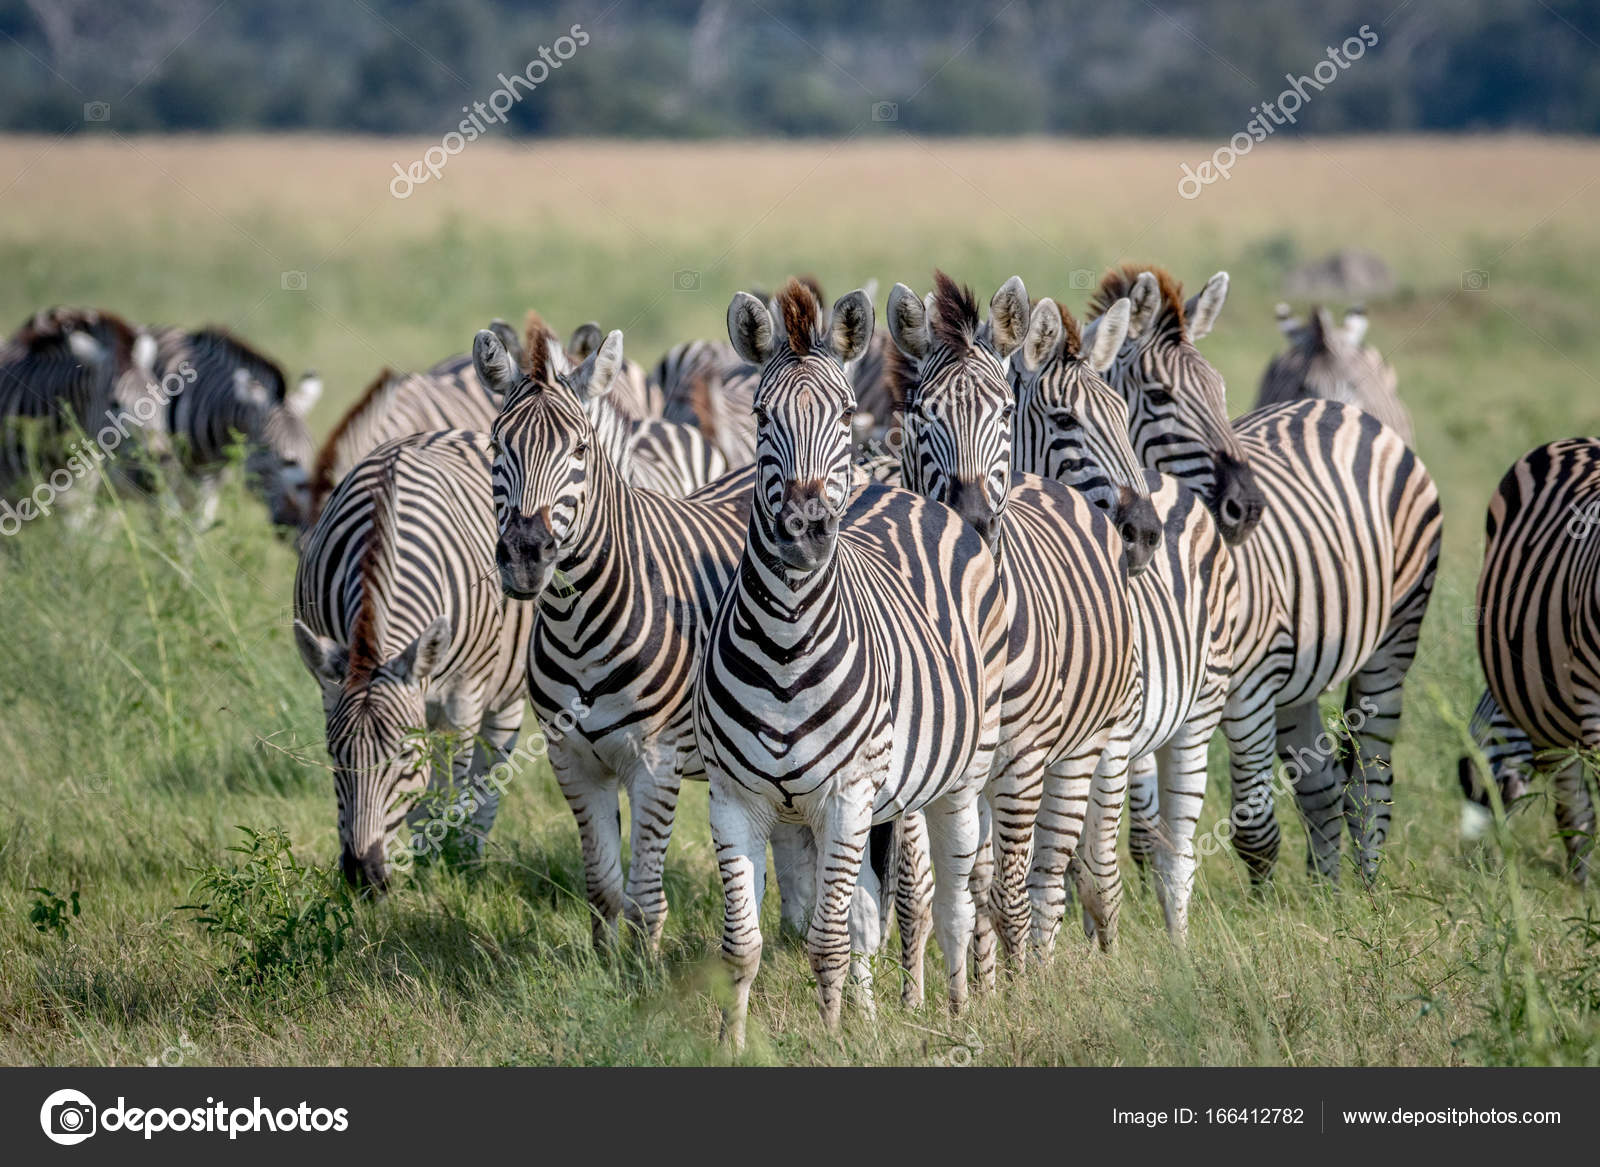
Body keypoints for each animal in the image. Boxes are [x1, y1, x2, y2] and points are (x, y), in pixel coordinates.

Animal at [292, 428, 537, 890]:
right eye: (336, 757)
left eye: (403, 758)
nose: (363, 876)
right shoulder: (330, 686)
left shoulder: (462, 696)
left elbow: (446, 789)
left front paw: (441, 860)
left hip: (503, 697)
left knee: (486, 775)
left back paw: (470, 854)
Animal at [696, 278, 1008, 1048]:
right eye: (761, 415)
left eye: (840, 413)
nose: (806, 531)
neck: (786, 644)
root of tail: (907, 494)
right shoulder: (735, 800)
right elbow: (745, 944)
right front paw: (736, 1041)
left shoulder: (845, 794)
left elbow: (828, 938)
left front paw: (834, 1034)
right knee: (871, 905)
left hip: (958, 778)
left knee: (954, 901)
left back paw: (958, 1008)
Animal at [881, 272, 1151, 974]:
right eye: (922, 415)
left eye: (1004, 413)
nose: (1144, 531)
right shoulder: (939, 759)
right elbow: (942, 890)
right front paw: (967, 987)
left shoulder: (1026, 755)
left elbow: (1013, 889)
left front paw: (1022, 988)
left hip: (1100, 741)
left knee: (1081, 871)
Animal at [1011, 293, 1238, 945]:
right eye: (1064, 420)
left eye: (1121, 413)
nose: (1145, 535)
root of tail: (1170, 484)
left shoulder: (1104, 741)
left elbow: (1094, 873)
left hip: (1197, 715)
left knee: (1174, 851)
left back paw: (1179, 949)